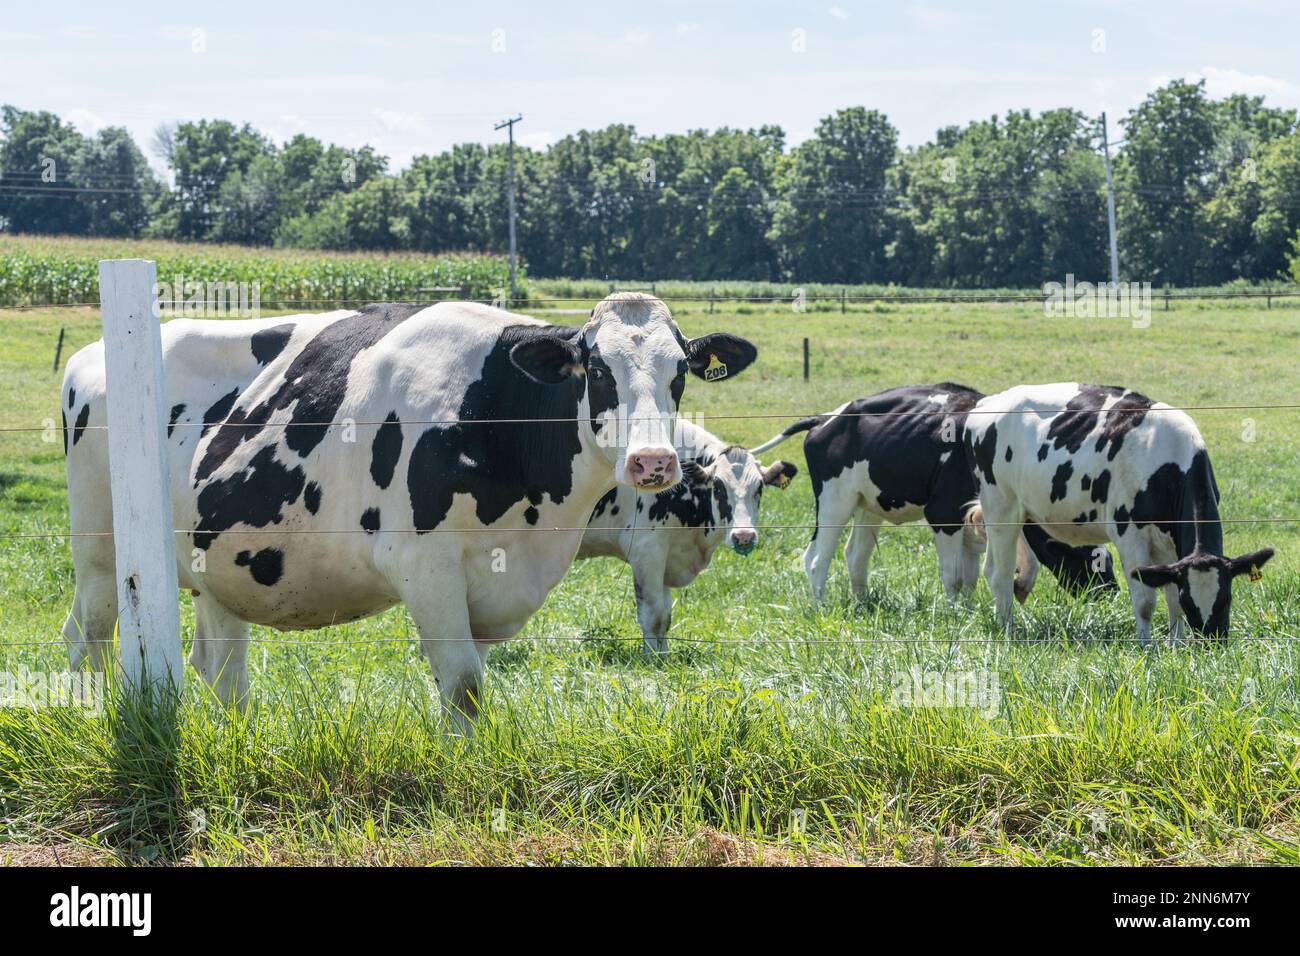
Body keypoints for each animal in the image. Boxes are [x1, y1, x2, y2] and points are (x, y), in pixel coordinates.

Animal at [60, 294, 757, 729]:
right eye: (598, 369)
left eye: (679, 372)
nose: (652, 462)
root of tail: (91, 353)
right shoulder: (426, 564)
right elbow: (465, 685)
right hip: (101, 548)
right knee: (91, 634)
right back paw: (91, 716)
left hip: (217, 565)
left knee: (219, 671)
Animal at [577, 418, 797, 654]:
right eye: (718, 488)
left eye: (759, 488)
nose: (744, 536)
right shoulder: (647, 552)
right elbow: (653, 616)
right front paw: (651, 658)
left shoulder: (667, 552)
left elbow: (665, 616)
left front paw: (663, 655)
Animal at [750, 383, 1118, 604]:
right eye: (1087, 560)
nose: (1110, 594)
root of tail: (825, 418)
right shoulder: (944, 513)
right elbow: (954, 575)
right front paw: (955, 613)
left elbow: (971, 575)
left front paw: (972, 609)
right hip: (833, 502)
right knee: (816, 558)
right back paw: (820, 605)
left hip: (866, 504)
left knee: (855, 555)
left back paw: (862, 603)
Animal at [962, 383, 1274, 642]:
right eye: (1192, 603)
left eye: (1226, 599)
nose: (1212, 643)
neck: (1168, 462)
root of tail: (988, 402)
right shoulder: (1130, 535)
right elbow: (1146, 601)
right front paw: (1148, 648)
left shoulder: (1170, 543)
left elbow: (1170, 594)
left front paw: (1177, 646)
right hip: (1000, 506)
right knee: (999, 574)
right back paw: (1008, 632)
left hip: (1020, 511)